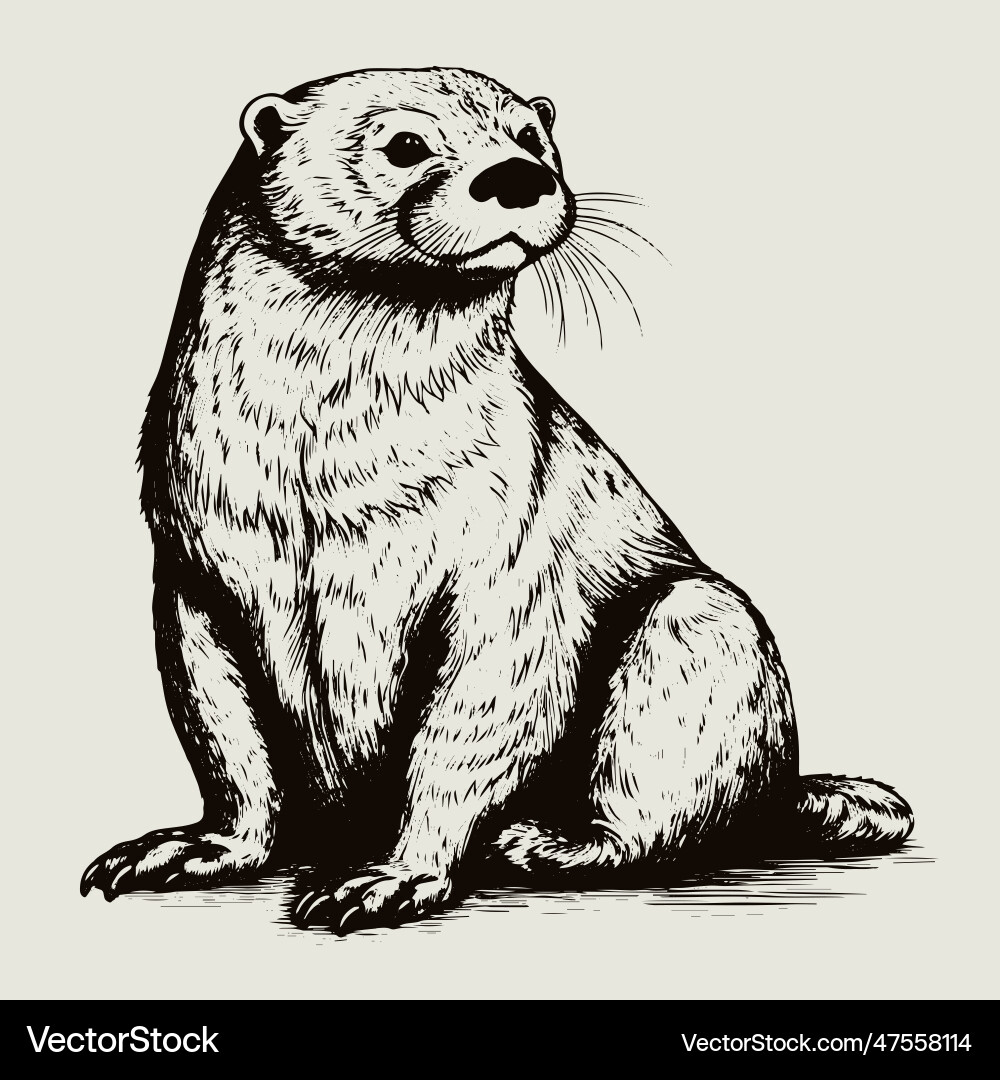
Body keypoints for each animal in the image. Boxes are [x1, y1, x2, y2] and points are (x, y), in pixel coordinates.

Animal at [80, 66, 913, 933]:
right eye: (405, 143)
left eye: (531, 136)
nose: (517, 176)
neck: (327, 490)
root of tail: (780, 789)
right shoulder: (193, 569)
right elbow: (224, 735)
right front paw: (195, 849)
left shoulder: (513, 556)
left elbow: (469, 727)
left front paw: (392, 876)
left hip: (702, 628)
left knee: (666, 802)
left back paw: (544, 842)